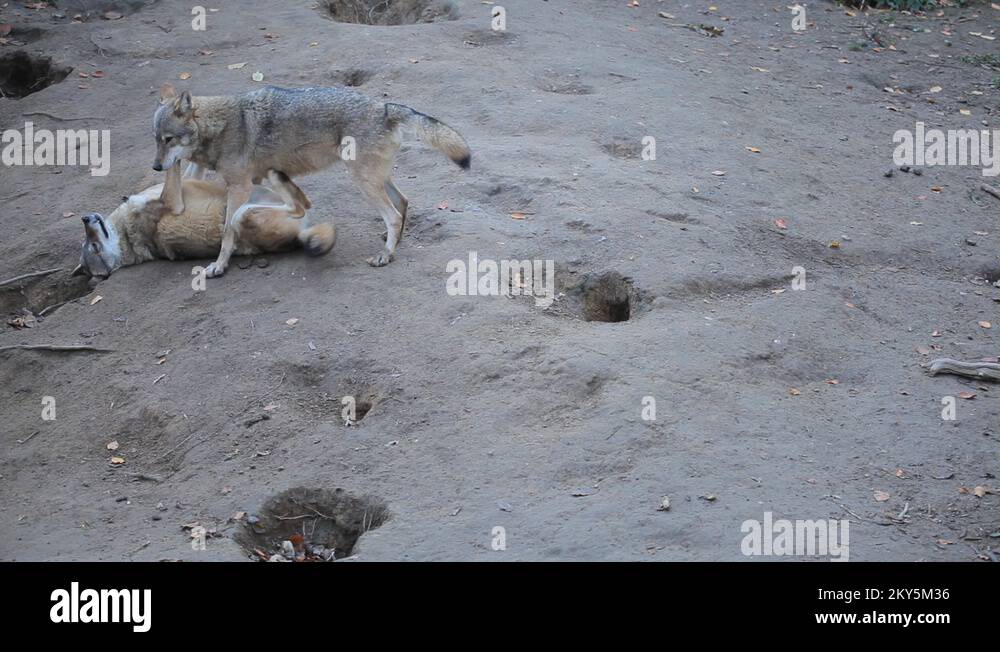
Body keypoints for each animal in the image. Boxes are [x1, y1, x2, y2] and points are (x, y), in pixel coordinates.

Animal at [73, 162, 335, 279]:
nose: (85, 218)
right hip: (244, 214)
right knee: (297, 205)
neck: (128, 236)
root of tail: (298, 237)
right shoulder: (173, 200)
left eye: (87, 244)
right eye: (93, 247)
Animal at [152, 84, 470, 277]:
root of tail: (384, 107)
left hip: (363, 183)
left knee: (392, 214)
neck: (220, 127)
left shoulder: (241, 187)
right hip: (376, 179)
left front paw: (218, 265)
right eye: (156, 139)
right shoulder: (229, 176)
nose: (156, 166)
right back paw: (393, 244)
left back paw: (385, 255)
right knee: (403, 202)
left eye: (168, 139)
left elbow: (230, 229)